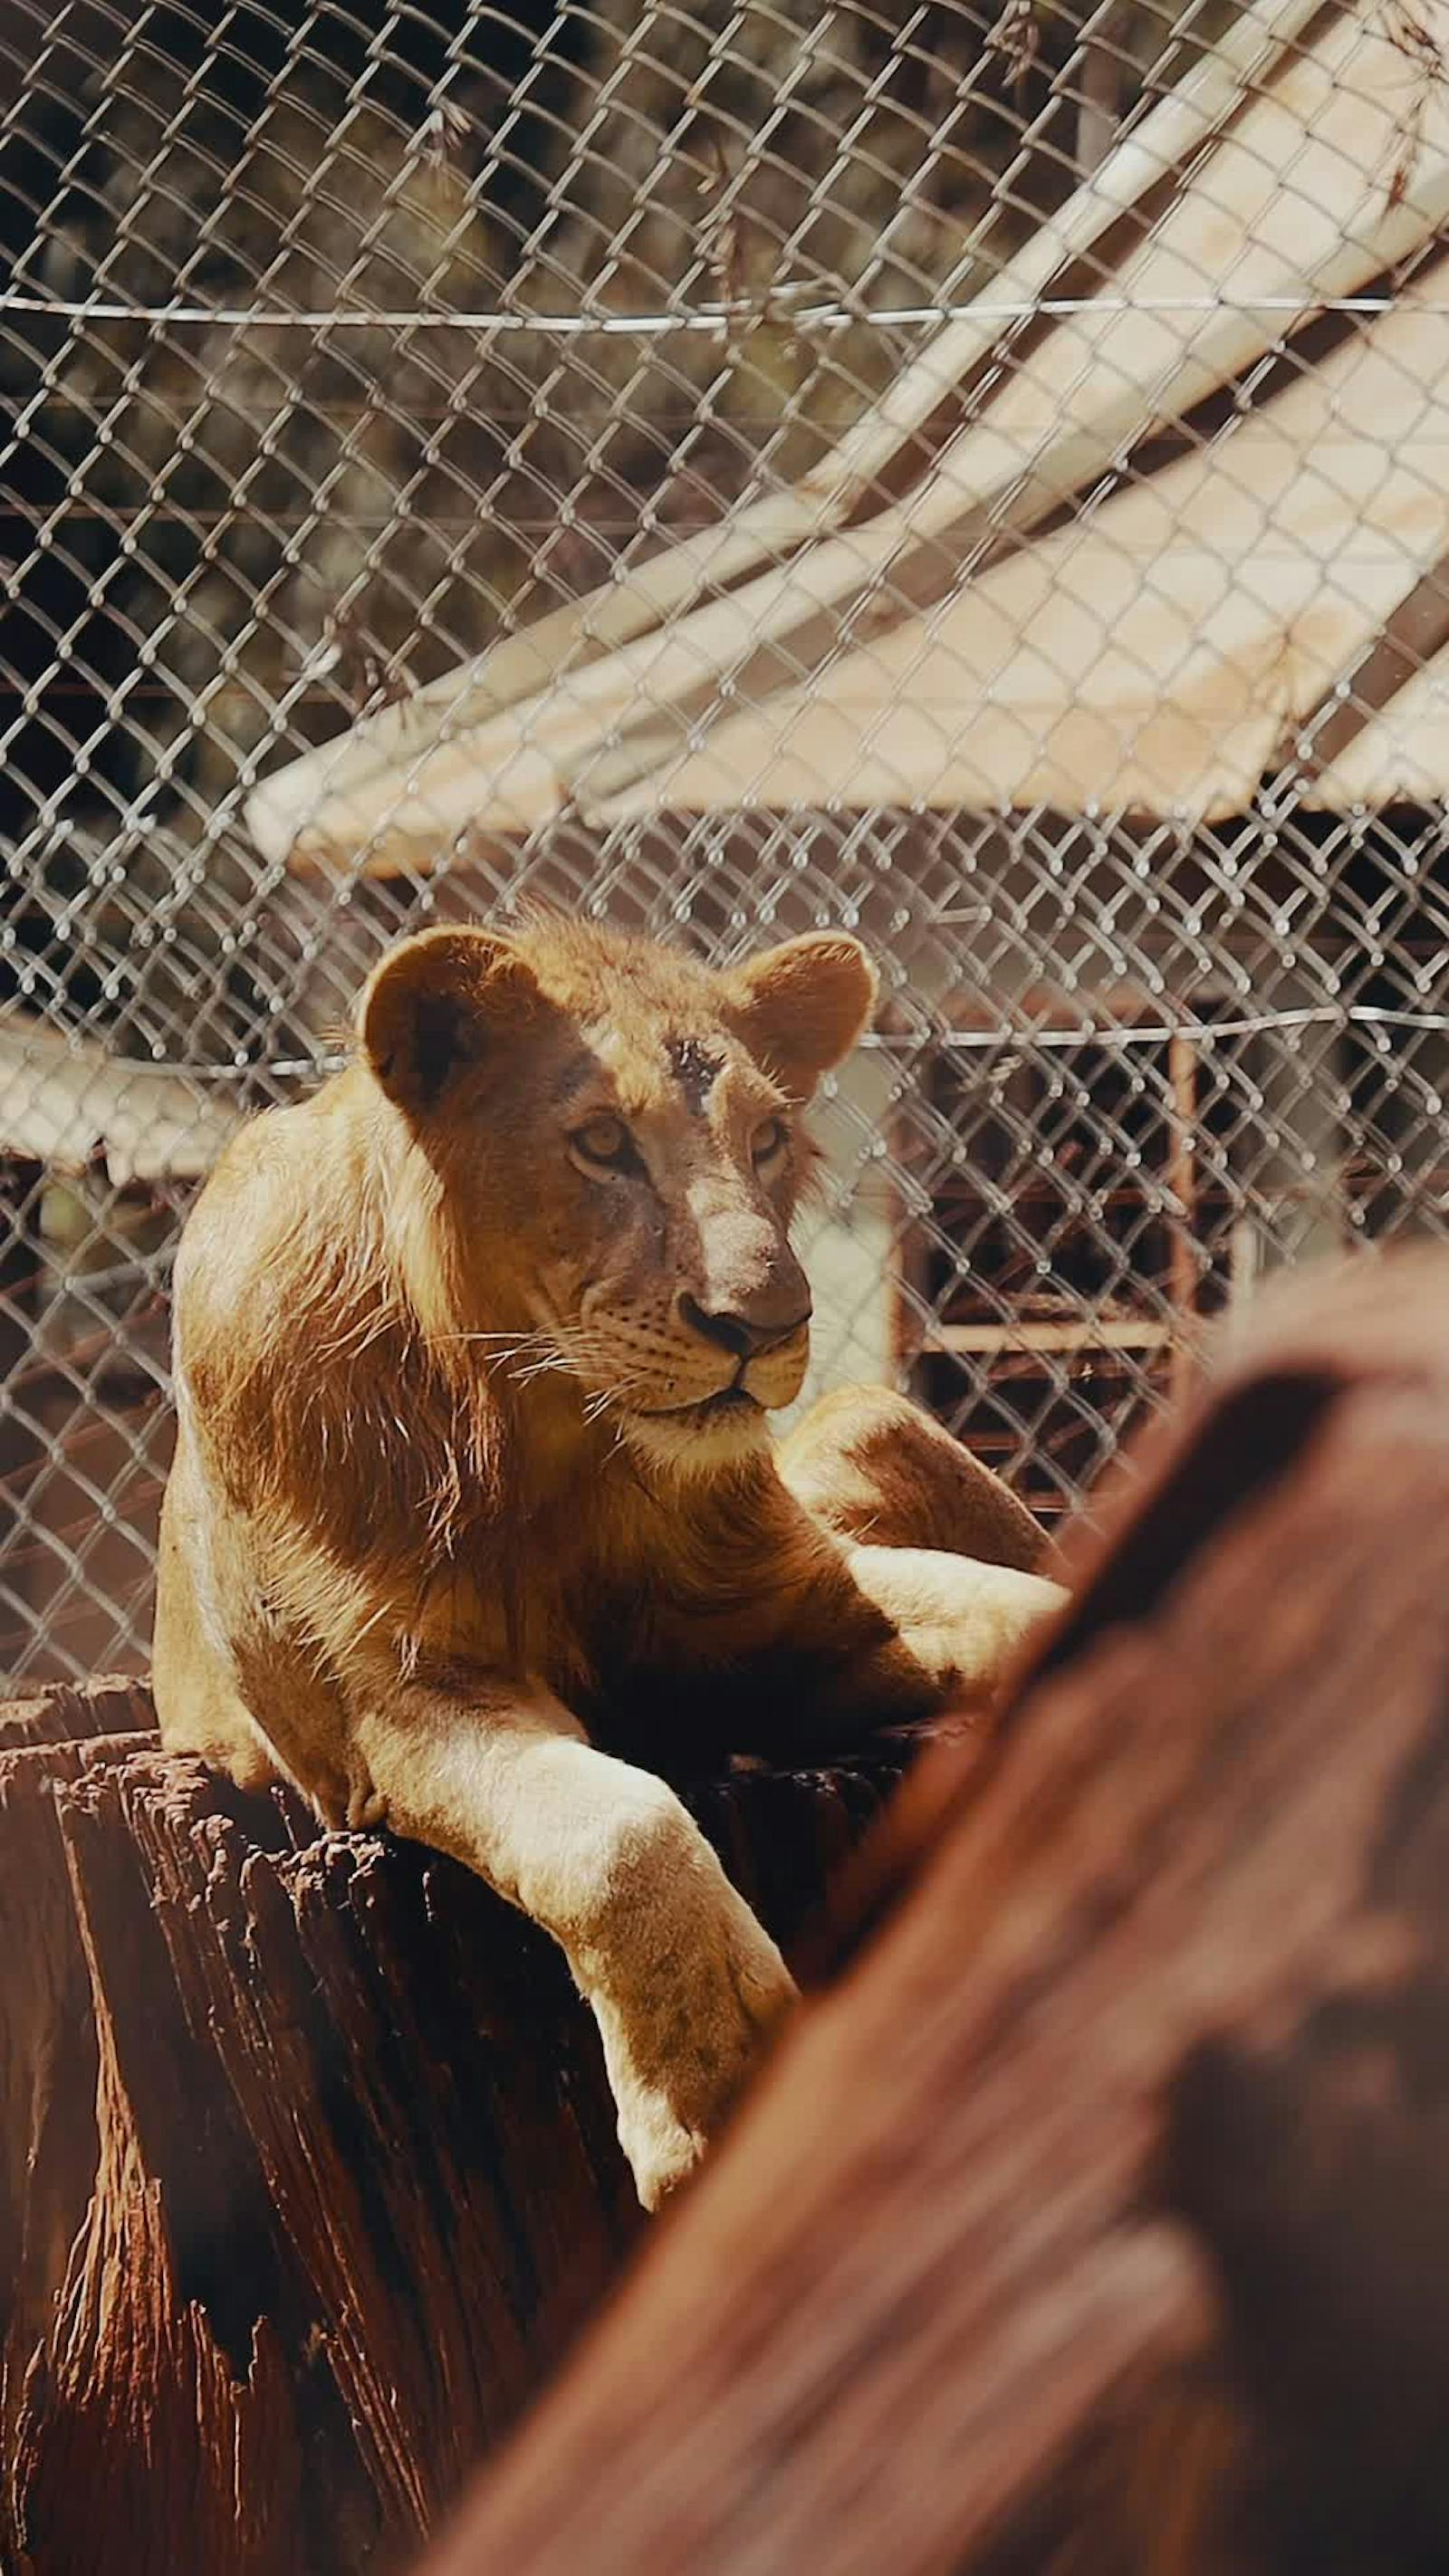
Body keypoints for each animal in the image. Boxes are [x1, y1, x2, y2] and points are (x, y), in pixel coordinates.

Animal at [153, 916, 1064, 2207]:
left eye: (766, 1138)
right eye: (598, 1143)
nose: (766, 1323)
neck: (557, 1447)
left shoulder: (804, 1620)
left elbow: (1041, 1610)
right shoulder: (381, 1706)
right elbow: (619, 1832)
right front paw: (715, 2095)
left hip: (866, 1418)